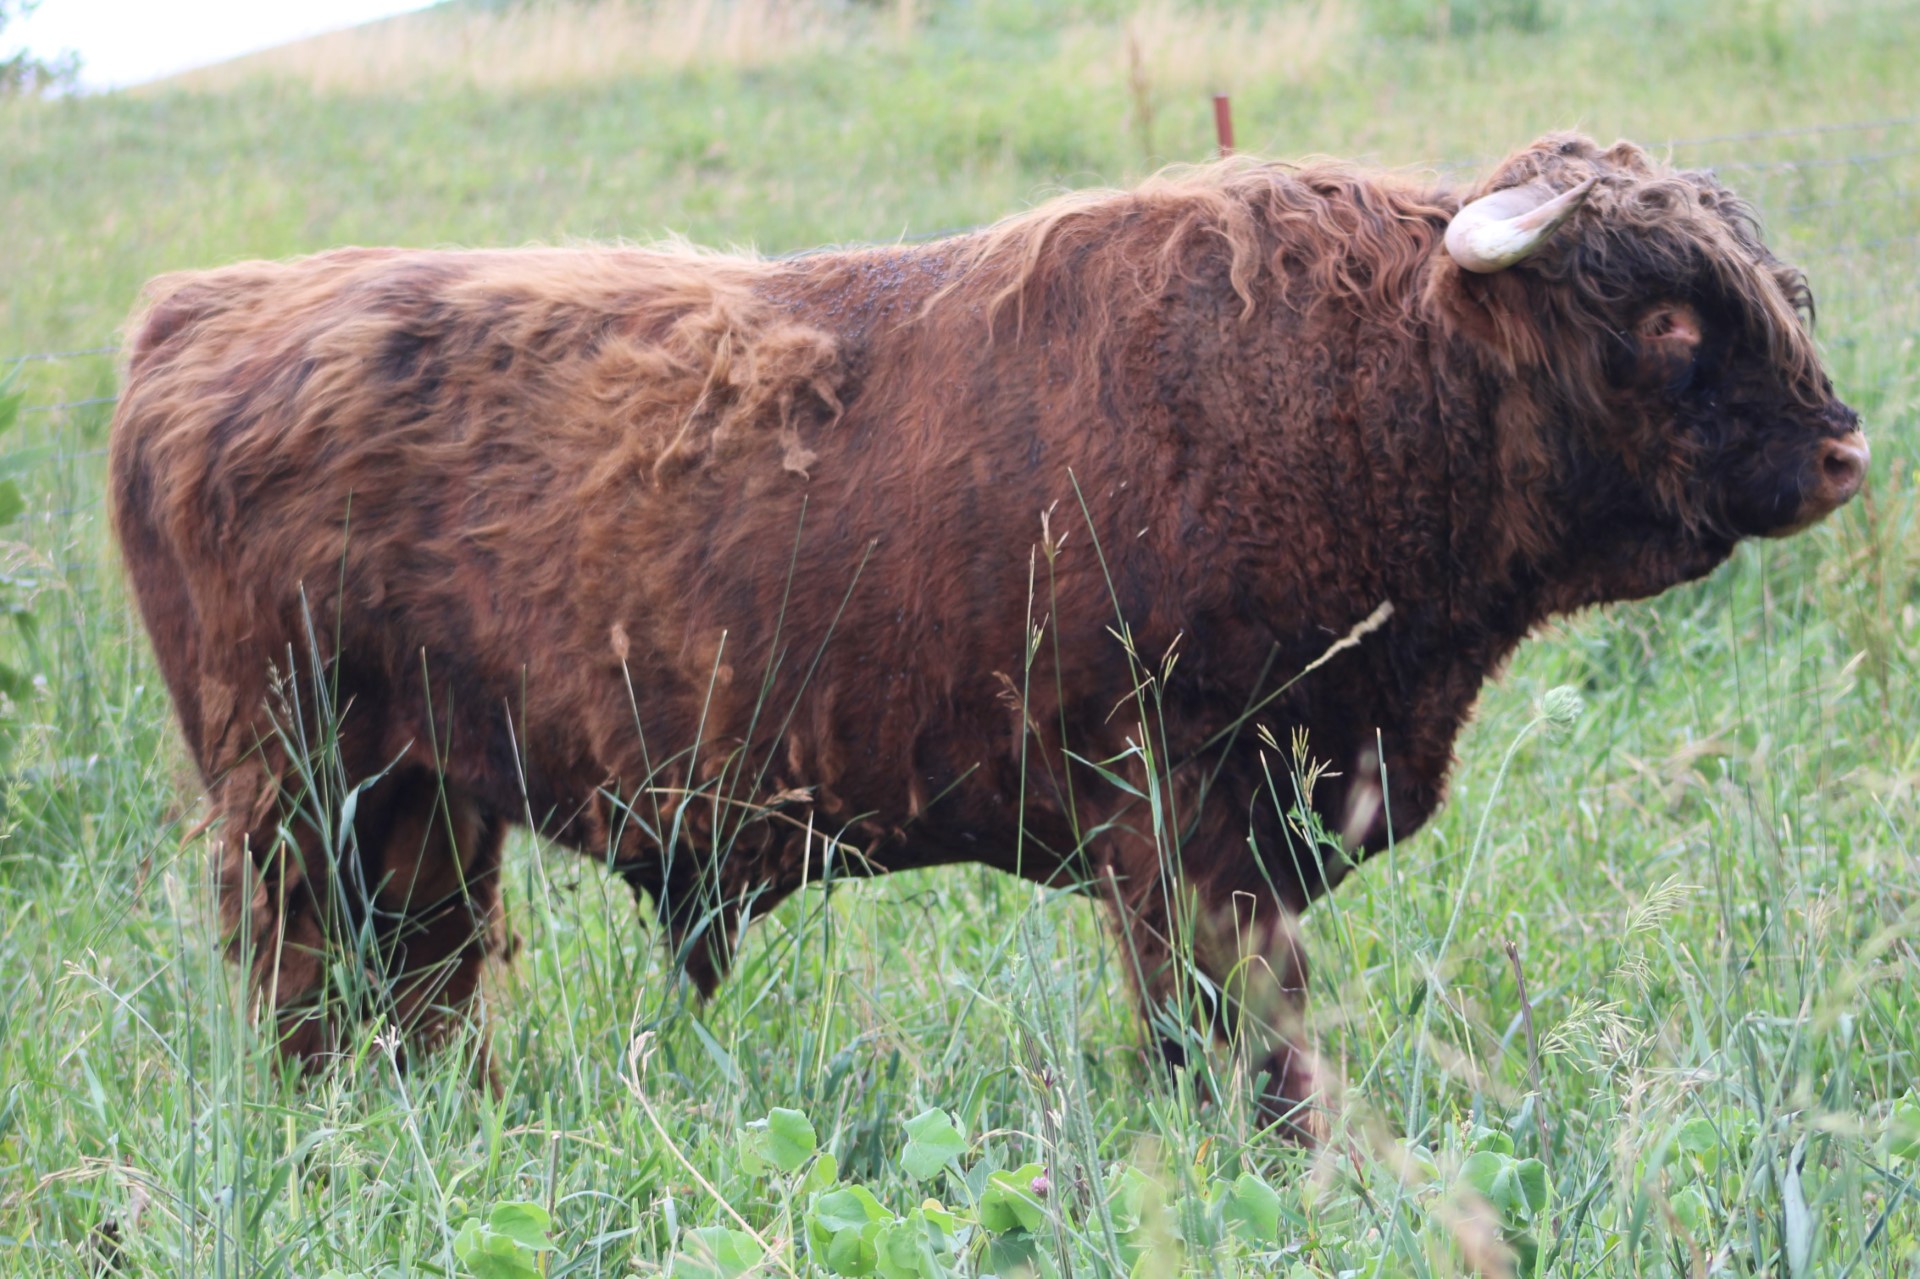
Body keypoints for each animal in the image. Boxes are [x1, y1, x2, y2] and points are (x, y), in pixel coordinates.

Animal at [109, 133, 1865, 1132]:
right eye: (1665, 314)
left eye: (1776, 286)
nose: (1845, 449)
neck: (1377, 378)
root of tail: (204, 312)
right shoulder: (1186, 819)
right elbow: (1230, 1023)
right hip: (297, 798)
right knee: (310, 986)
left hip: (424, 809)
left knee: (416, 988)